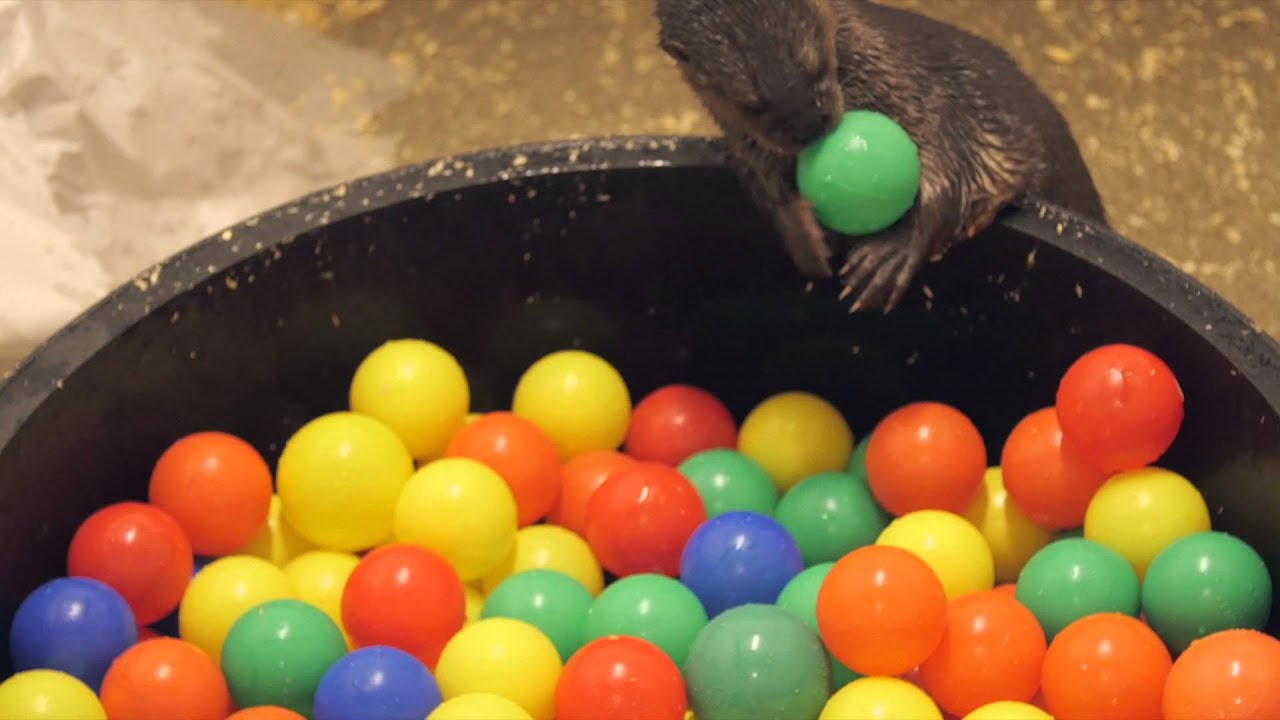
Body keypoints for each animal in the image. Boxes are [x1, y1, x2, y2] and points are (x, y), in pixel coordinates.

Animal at [655, 0, 1108, 312]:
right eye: (753, 104)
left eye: (814, 64)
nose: (813, 127)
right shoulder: (745, 143)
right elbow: (766, 189)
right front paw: (805, 239)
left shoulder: (917, 88)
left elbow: (948, 162)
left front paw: (893, 253)